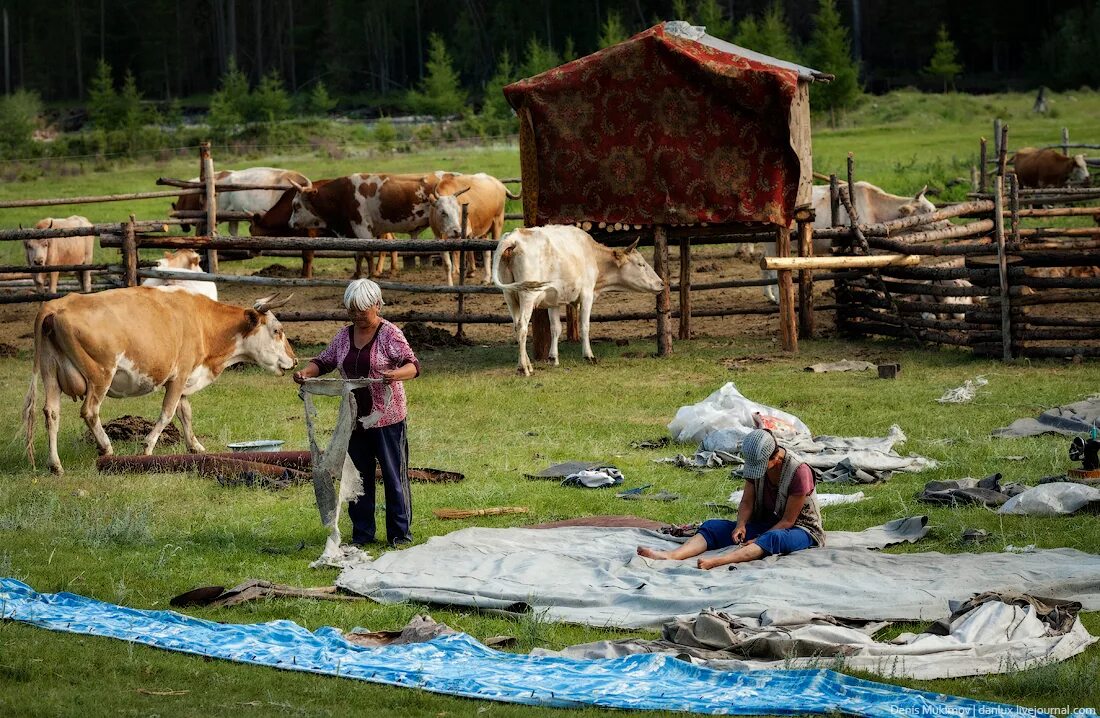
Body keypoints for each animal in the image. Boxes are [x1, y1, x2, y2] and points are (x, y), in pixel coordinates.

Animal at [22, 288, 297, 472]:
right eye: (278, 330)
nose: (294, 360)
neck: (202, 322)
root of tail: (55, 307)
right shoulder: (179, 375)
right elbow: (168, 413)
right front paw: (147, 447)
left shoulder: (185, 379)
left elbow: (185, 412)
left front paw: (195, 446)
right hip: (100, 375)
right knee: (90, 411)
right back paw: (106, 448)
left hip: (50, 373)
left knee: (52, 413)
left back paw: (56, 465)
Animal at [497, 226, 664, 376]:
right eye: (641, 264)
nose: (661, 283)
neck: (591, 254)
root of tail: (514, 238)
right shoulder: (587, 294)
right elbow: (585, 326)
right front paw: (589, 356)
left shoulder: (553, 299)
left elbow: (556, 328)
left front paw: (553, 358)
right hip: (528, 295)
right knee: (522, 327)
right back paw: (523, 368)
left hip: (510, 296)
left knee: (516, 327)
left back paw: (527, 365)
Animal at [765, 182, 937, 303]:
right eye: (927, 211)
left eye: (934, 208)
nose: (943, 223)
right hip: (772, 242)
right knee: (774, 268)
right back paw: (778, 299)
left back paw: (770, 297)